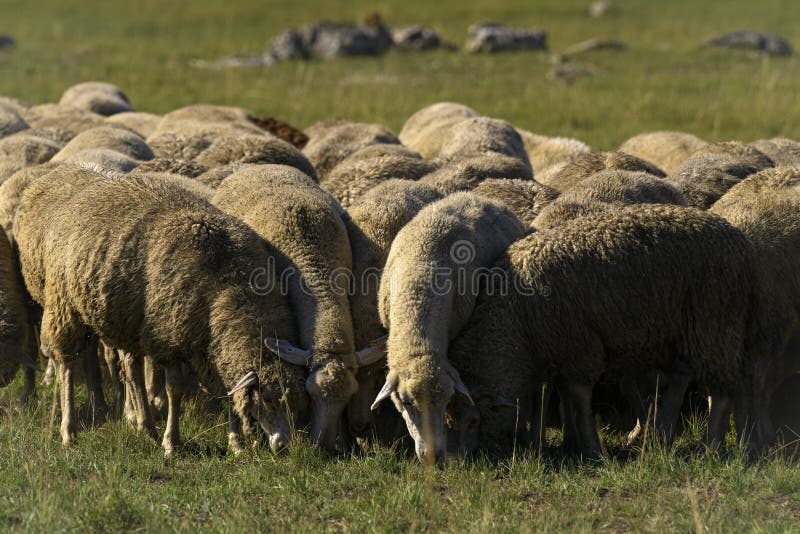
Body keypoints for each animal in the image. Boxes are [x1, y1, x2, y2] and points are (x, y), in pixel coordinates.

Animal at [15, 168, 307, 453]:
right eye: (267, 399)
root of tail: (82, 194)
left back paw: (143, 425)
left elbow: (228, 392)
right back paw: (70, 430)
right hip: (65, 307)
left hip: (124, 316)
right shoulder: (168, 340)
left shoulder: (214, 348)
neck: (230, 287)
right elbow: (174, 390)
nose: (283, 446)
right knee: (66, 364)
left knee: (129, 367)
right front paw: (172, 442)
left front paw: (235, 442)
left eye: (294, 400)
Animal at [445, 204, 756, 459]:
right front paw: (551, 442)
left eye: (474, 421)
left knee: (720, 390)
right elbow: (553, 393)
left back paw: (710, 446)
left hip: (714, 322)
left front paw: (592, 448)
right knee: (685, 377)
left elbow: (580, 396)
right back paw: (665, 437)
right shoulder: (555, 350)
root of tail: (737, 238)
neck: (512, 319)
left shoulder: (580, 345)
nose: (456, 460)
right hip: (682, 330)